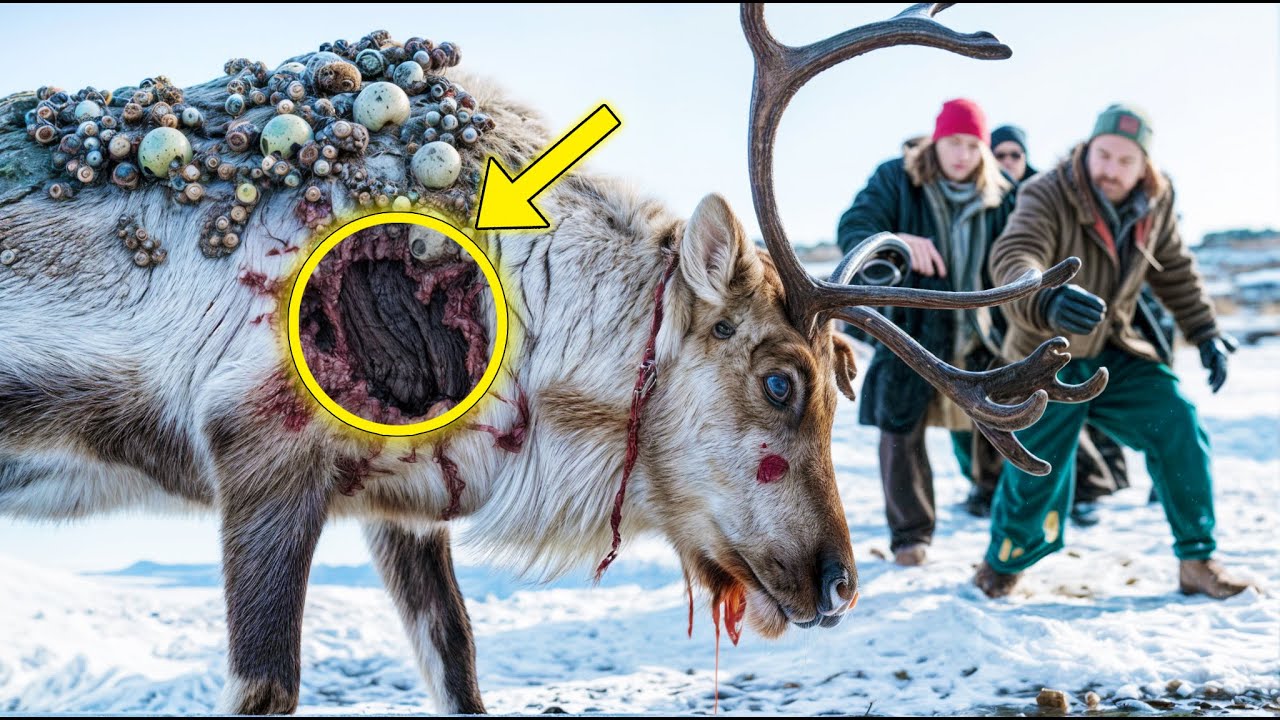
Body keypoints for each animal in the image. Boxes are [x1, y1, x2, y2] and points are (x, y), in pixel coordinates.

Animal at [0, 4, 1105, 715]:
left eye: (841, 391)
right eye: (780, 379)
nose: (838, 585)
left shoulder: (402, 504)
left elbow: (457, 668)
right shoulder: (264, 454)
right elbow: (266, 687)